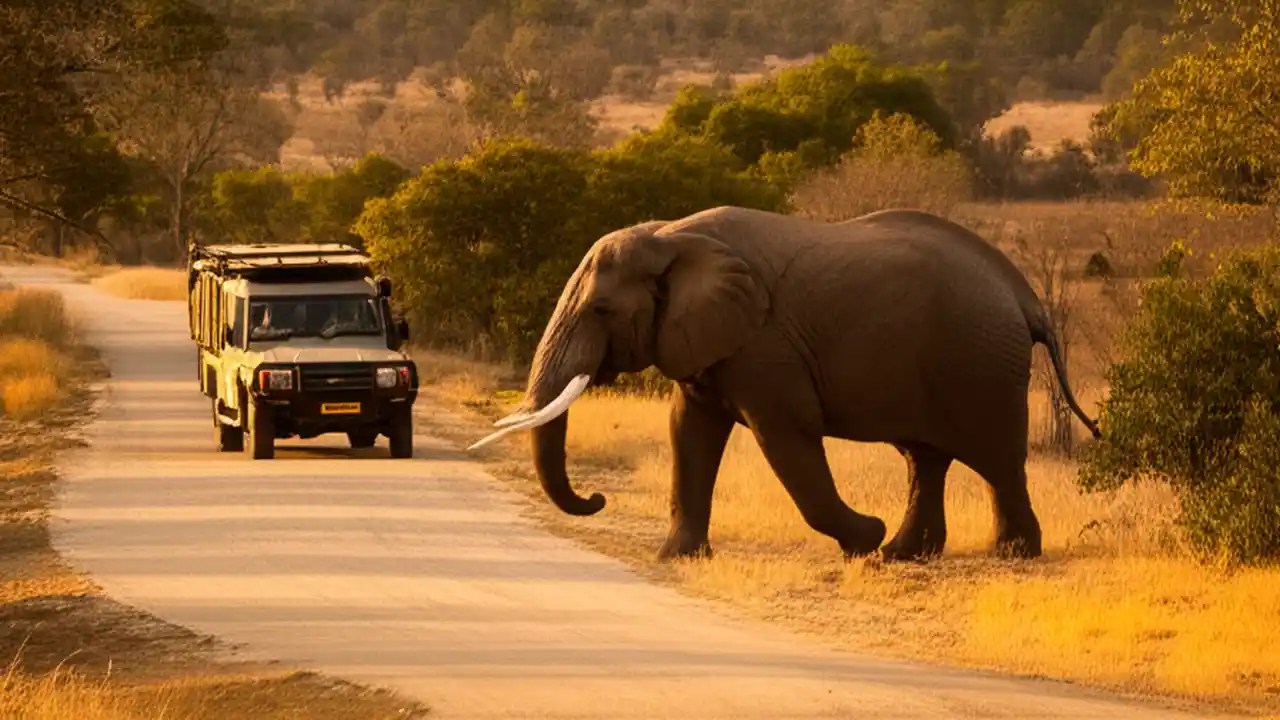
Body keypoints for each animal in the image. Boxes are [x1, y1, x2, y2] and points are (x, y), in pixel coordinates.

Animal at [469, 205, 1100, 562]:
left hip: (981, 360)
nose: (597, 498)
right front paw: (676, 559)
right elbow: (689, 432)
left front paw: (863, 539)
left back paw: (1011, 556)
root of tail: (1023, 295)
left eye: (601, 310)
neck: (670, 236)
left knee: (996, 460)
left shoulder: (765, 345)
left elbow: (785, 436)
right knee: (926, 458)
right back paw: (905, 556)